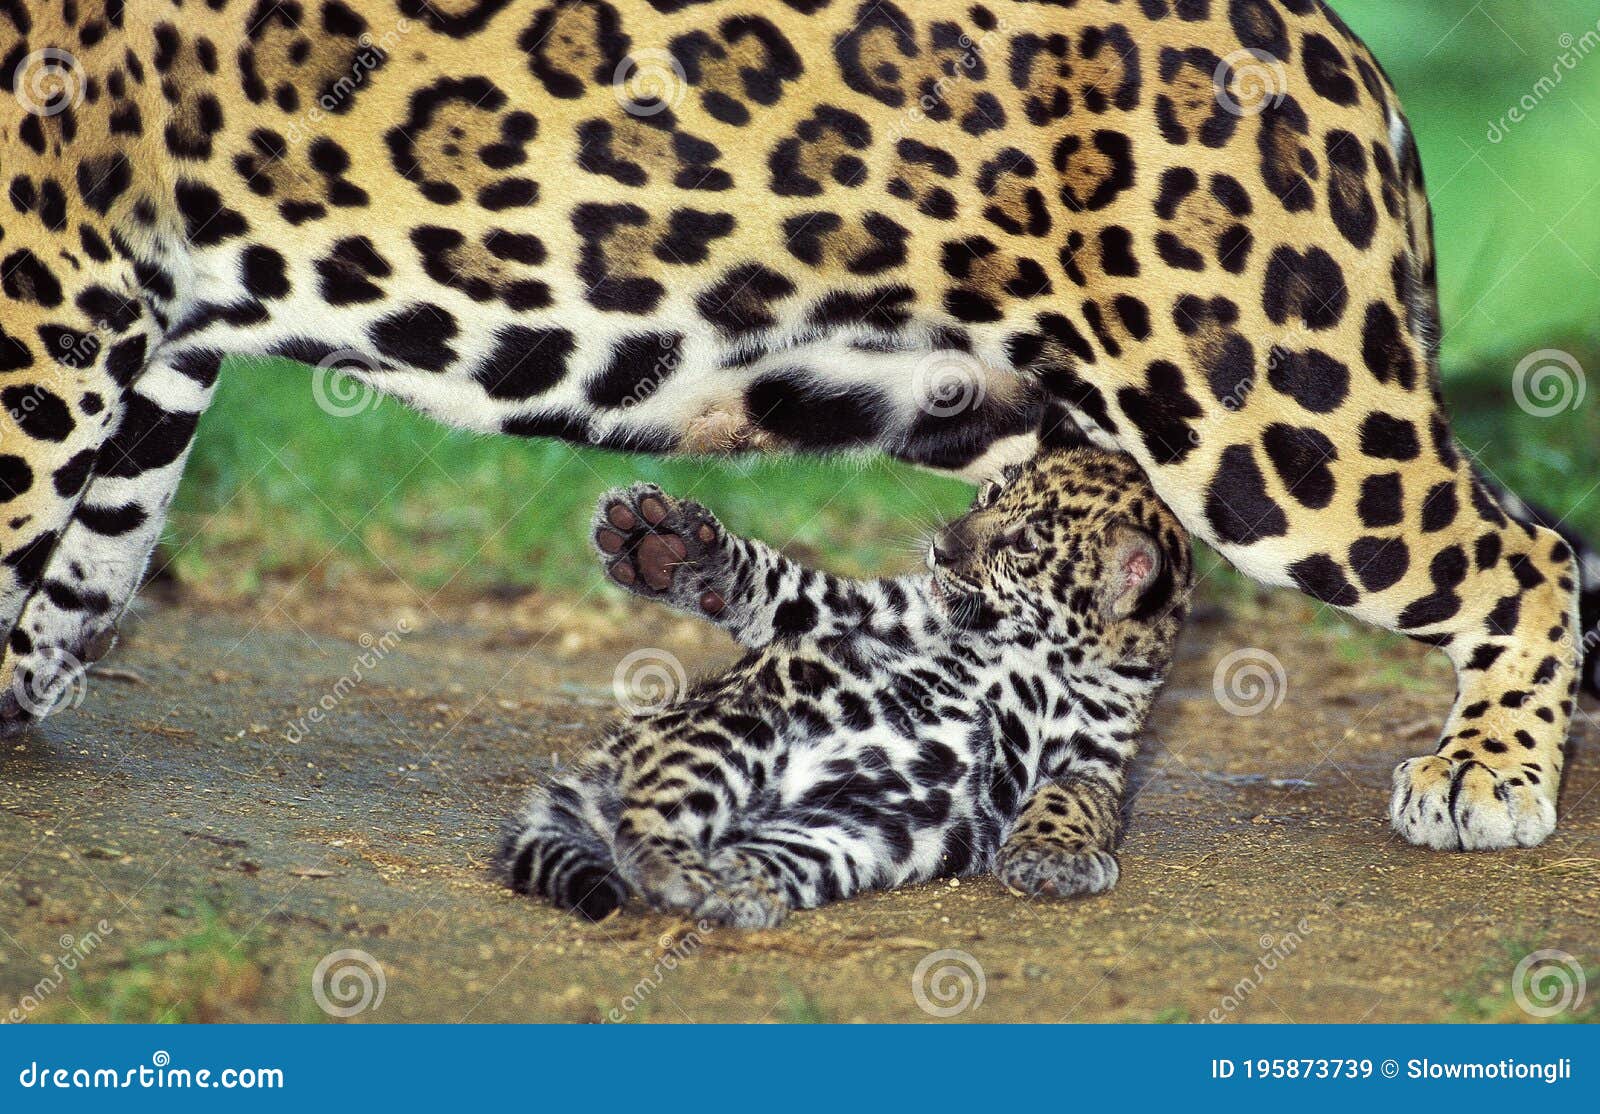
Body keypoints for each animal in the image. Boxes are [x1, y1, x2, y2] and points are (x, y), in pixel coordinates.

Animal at [1, 0, 1596, 855]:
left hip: (1267, 407)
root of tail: (1339, 52)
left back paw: (1489, 774)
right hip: (999, 429)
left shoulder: (45, 271)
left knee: (1526, 551)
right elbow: (94, 533)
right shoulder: (128, 302)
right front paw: (26, 683)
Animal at [496, 442, 1193, 926]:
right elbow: (778, 587)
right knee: (643, 824)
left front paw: (1053, 857)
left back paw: (734, 889)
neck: (1032, 649)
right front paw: (665, 549)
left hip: (838, 833)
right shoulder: (866, 612)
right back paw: (692, 882)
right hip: (735, 728)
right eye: (987, 496)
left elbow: (1074, 799)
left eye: (1022, 544)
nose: (941, 546)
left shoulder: (1098, 758)